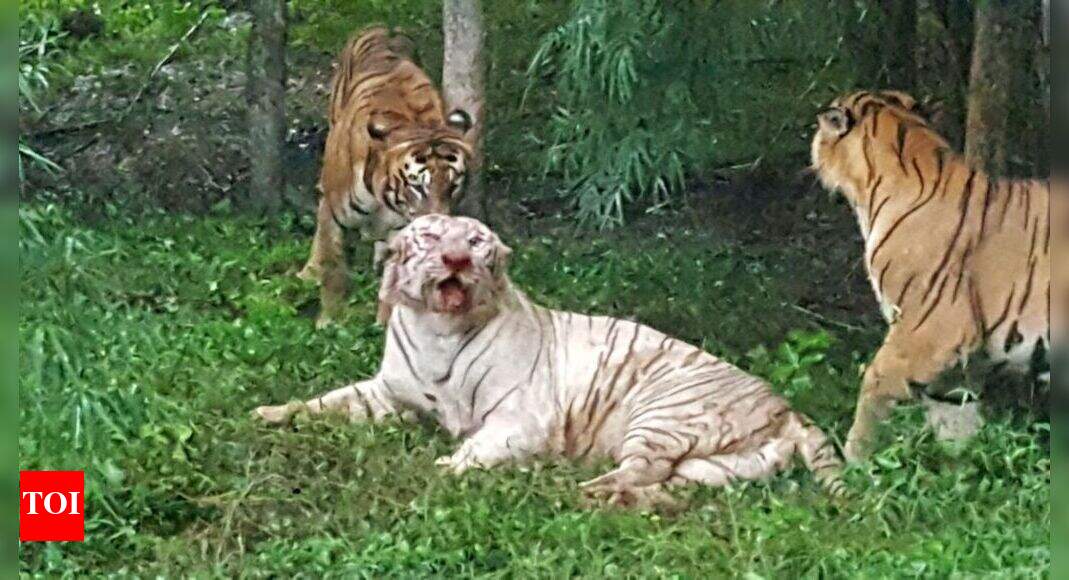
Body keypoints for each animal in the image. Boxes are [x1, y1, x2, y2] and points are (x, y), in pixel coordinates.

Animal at [256, 215, 843, 507]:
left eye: (475, 241)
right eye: (431, 236)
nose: (456, 258)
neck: (436, 331)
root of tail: (788, 408)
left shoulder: (520, 419)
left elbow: (475, 449)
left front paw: (442, 469)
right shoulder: (386, 393)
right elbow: (327, 400)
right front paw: (268, 413)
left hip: (663, 413)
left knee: (640, 468)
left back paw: (577, 486)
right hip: (718, 468)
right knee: (665, 486)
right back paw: (610, 498)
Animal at [299, 26, 474, 328]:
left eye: (453, 185)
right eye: (418, 187)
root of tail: (385, 28)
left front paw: (386, 324)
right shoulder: (334, 214)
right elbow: (333, 266)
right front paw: (329, 320)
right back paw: (309, 272)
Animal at [810, 90, 1051, 461]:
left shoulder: (930, 332)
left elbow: (874, 384)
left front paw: (855, 460)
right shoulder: (960, 363)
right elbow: (955, 417)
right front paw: (964, 466)